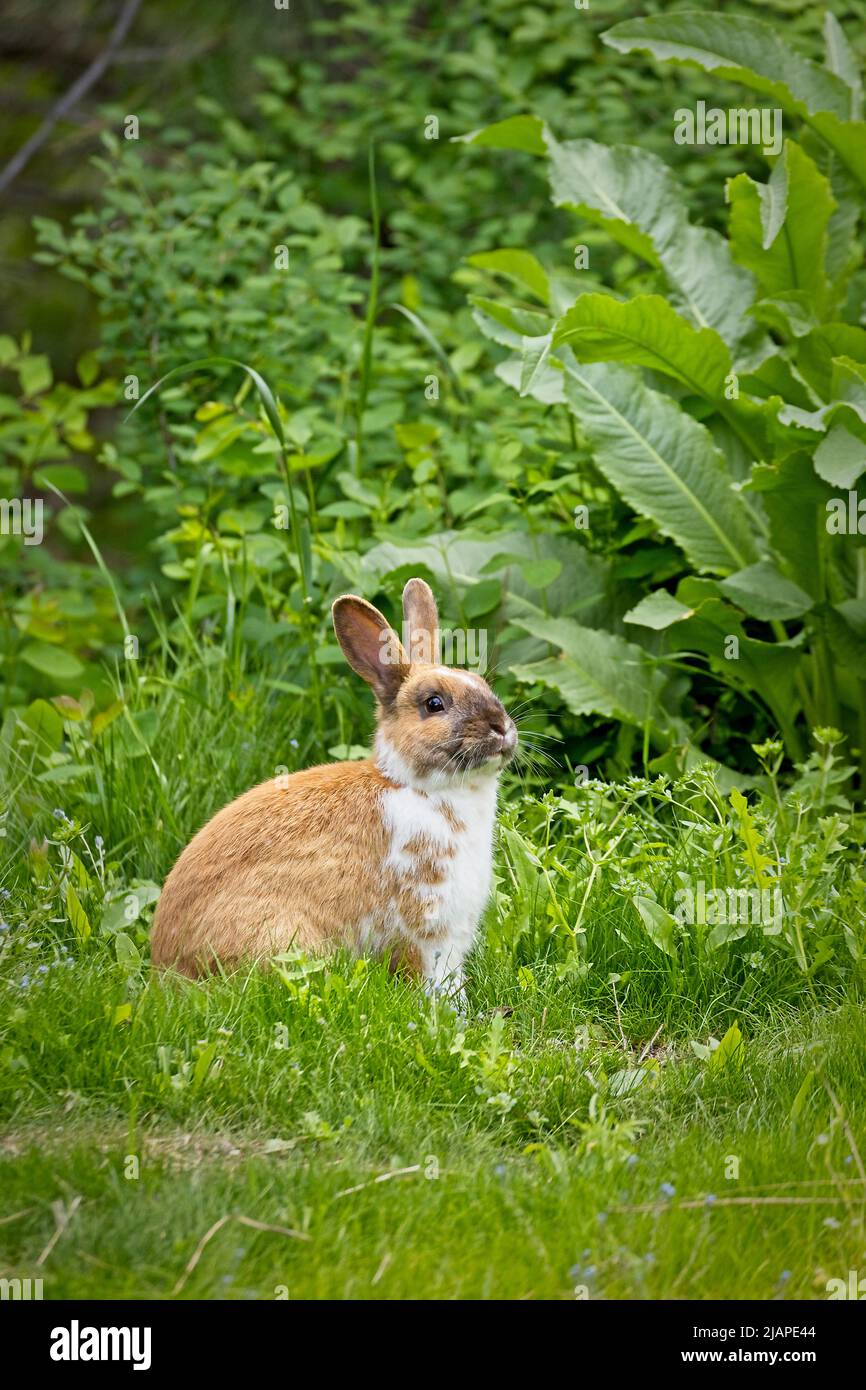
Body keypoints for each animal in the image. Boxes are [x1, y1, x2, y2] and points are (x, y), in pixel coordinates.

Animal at [150, 577, 517, 990]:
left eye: (483, 683)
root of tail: (165, 966)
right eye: (434, 704)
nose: (501, 726)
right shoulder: (424, 924)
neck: (418, 788)